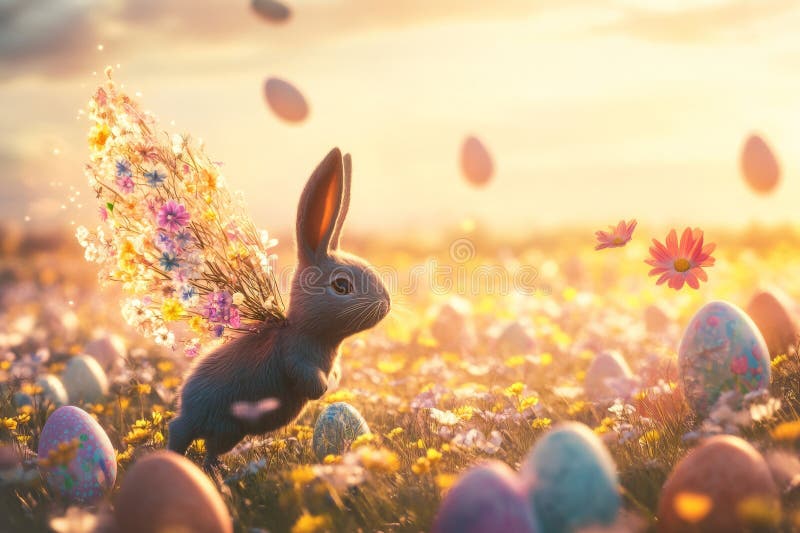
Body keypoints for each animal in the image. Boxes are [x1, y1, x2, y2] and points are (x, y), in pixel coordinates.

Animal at [167, 148, 391, 469]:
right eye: (341, 286)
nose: (386, 305)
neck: (305, 329)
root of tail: (185, 407)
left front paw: (335, 380)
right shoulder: (294, 356)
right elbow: (307, 378)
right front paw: (323, 390)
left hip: (229, 432)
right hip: (217, 422)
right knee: (184, 435)